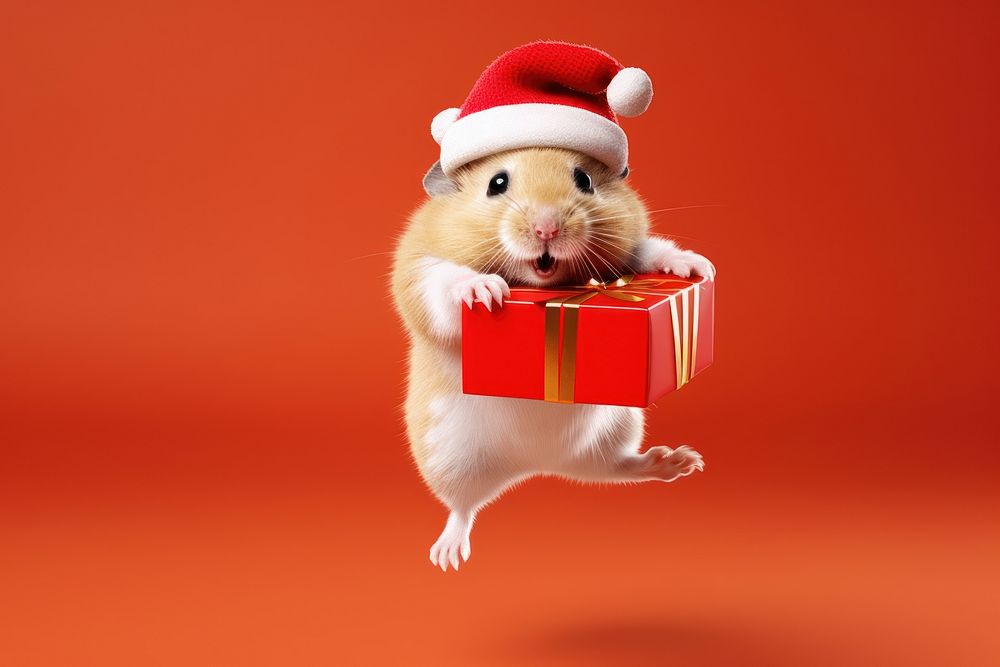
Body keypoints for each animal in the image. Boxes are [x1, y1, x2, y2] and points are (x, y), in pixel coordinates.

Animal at [392, 147, 715, 572]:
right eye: (496, 183)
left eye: (584, 180)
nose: (547, 230)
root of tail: (537, 463)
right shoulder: (418, 266)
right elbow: (444, 281)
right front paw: (485, 289)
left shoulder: (629, 246)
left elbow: (651, 250)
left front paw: (698, 267)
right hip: (448, 455)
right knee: (462, 508)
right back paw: (447, 557)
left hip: (617, 428)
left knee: (614, 467)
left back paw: (678, 462)